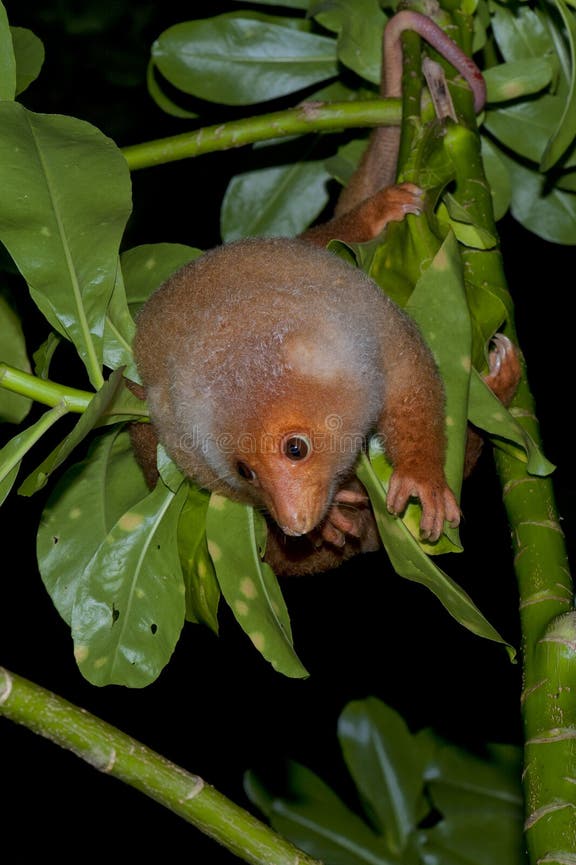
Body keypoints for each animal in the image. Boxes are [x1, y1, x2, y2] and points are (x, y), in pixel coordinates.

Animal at [127, 10, 521, 578]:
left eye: (296, 450)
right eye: (245, 472)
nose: (293, 523)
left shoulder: (370, 323)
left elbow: (416, 381)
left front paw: (421, 473)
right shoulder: (178, 435)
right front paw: (323, 521)